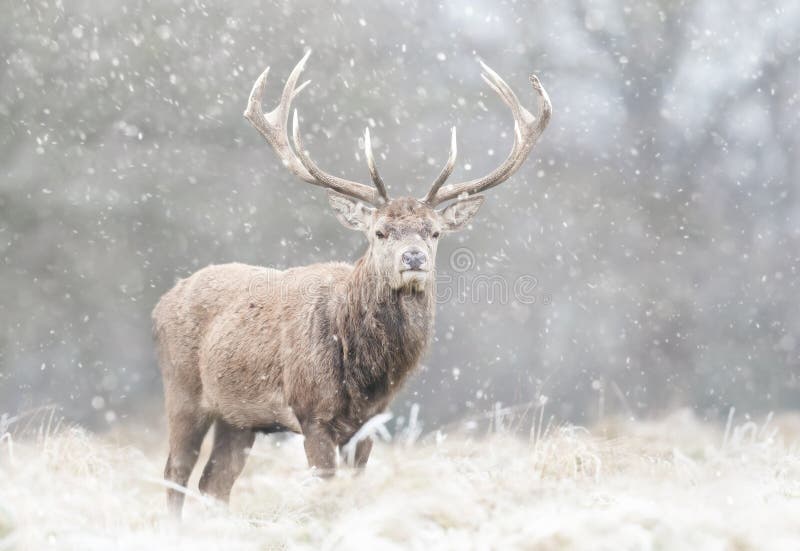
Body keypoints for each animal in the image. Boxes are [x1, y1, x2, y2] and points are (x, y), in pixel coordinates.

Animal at [153, 50, 551, 518]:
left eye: (434, 232)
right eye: (380, 232)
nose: (413, 257)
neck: (366, 373)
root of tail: (161, 302)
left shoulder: (371, 422)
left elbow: (355, 487)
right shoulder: (312, 413)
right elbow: (326, 489)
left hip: (240, 417)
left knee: (215, 482)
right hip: (182, 389)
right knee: (176, 472)